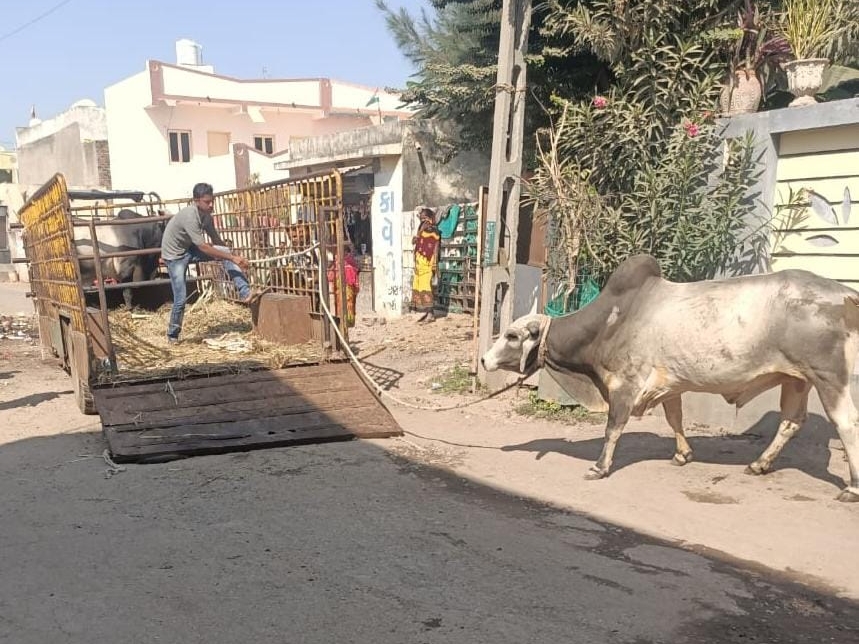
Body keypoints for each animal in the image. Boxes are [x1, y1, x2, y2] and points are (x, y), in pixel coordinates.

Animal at [481, 254, 859, 503]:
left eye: (512, 336)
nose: (484, 359)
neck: (612, 321)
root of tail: (844, 293)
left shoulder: (625, 384)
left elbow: (613, 428)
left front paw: (599, 467)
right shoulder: (670, 384)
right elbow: (674, 418)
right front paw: (682, 454)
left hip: (828, 377)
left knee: (846, 424)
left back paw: (852, 487)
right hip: (796, 379)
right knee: (791, 421)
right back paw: (759, 464)